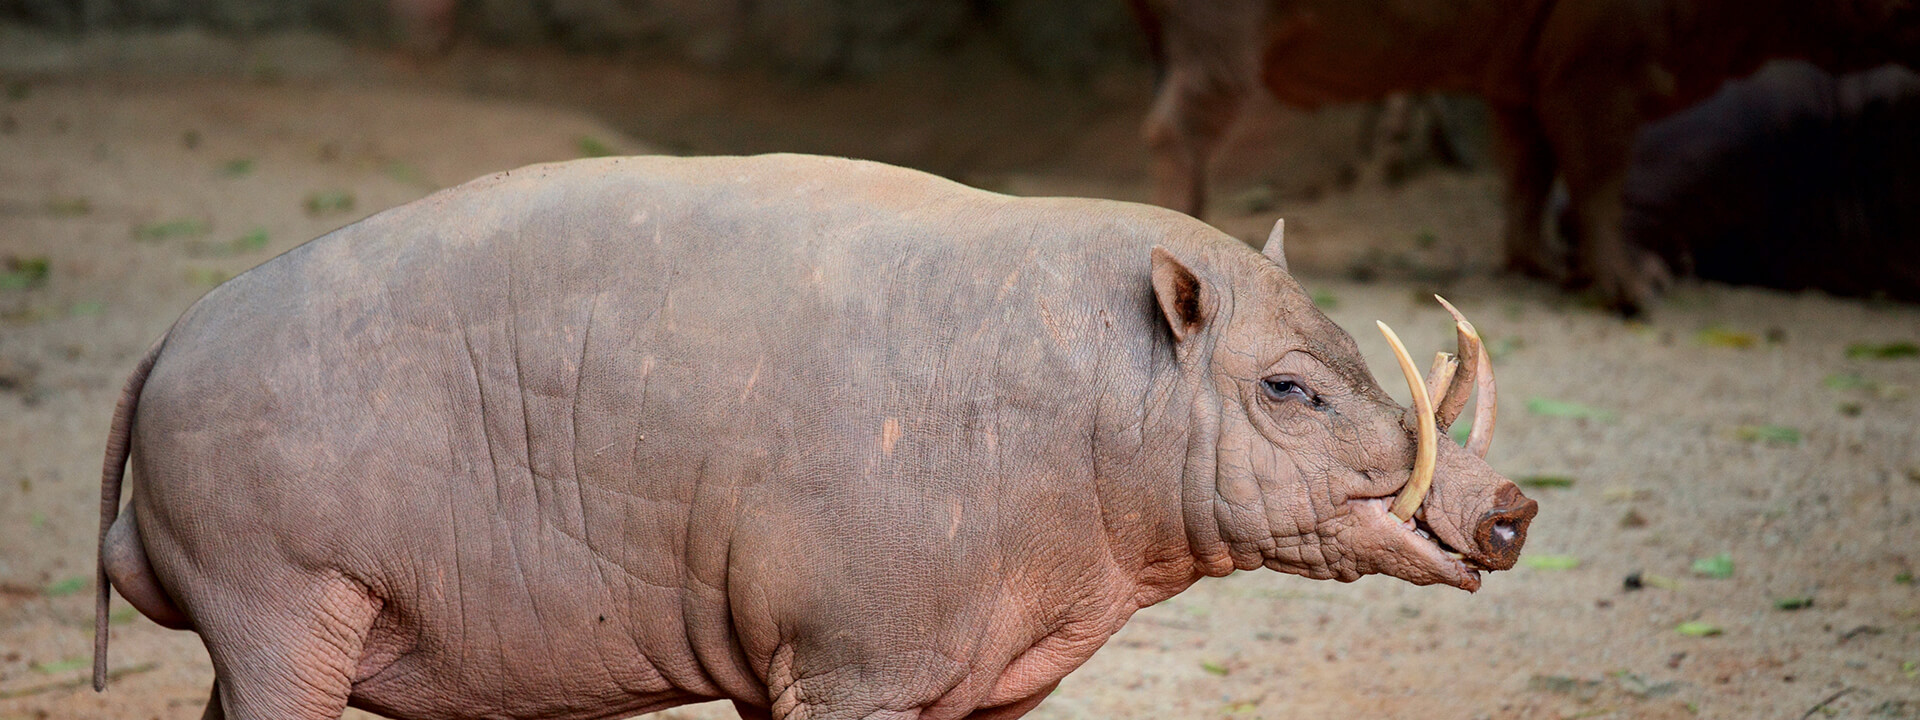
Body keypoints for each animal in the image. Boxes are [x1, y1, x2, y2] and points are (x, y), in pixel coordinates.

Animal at [93, 154, 1536, 720]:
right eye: (1289, 389)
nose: (1510, 509)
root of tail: (160, 345)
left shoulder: (972, 682)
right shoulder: (853, 665)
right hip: (279, 600)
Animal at [1130, 0, 1920, 315]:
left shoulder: (1524, 69)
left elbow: (1528, 168)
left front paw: (1536, 265)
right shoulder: (1596, 61)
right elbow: (1598, 171)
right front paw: (1635, 289)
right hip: (1222, 28)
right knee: (1180, 122)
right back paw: (1180, 222)